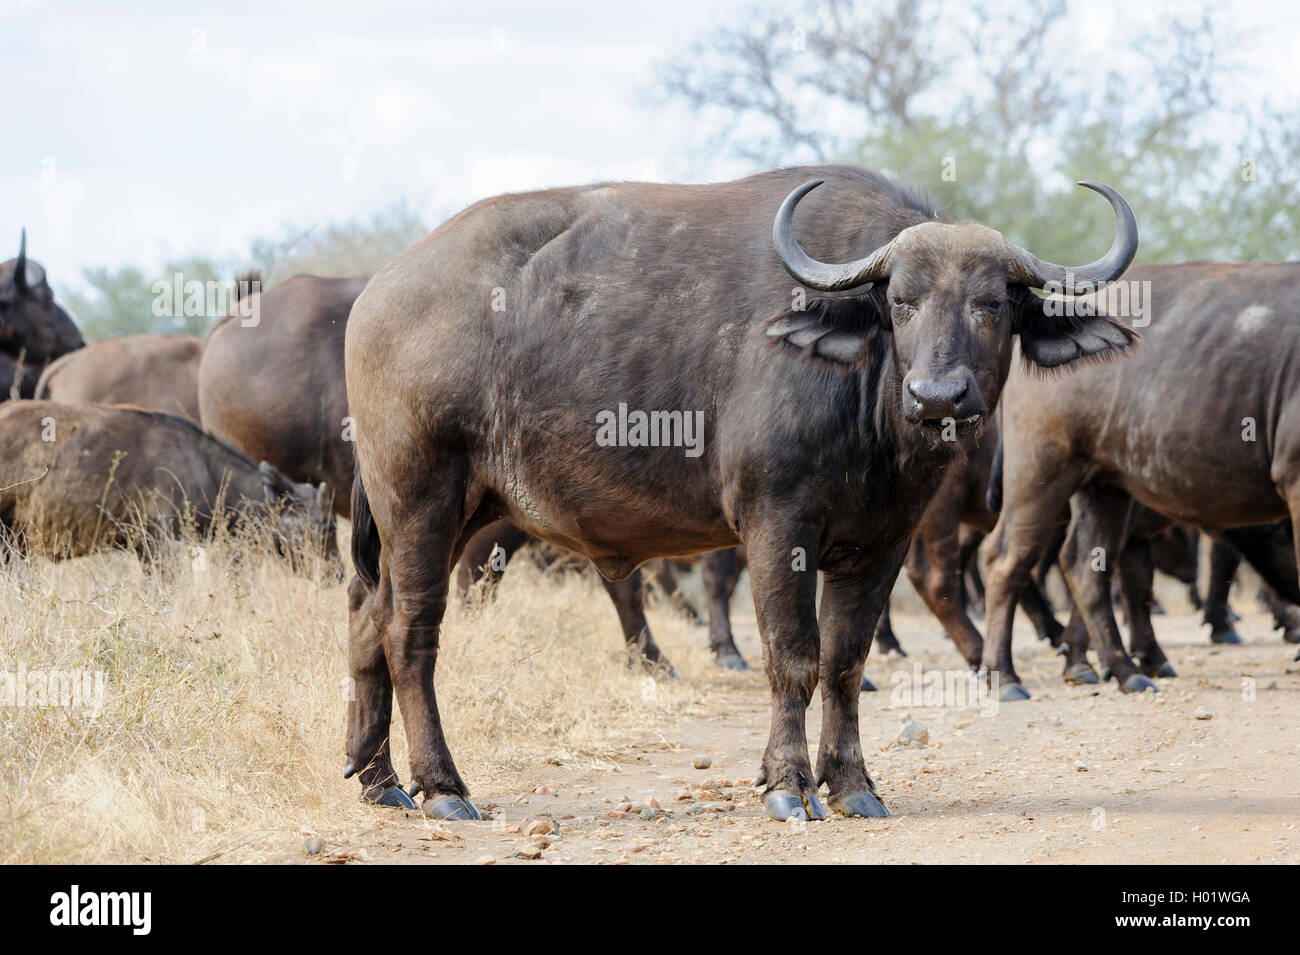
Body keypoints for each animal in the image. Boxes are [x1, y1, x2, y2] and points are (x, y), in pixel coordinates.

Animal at [343, 164, 1138, 821]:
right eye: (902, 302)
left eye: (993, 304)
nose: (938, 394)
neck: (867, 401)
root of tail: (375, 293)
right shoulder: (776, 525)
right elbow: (793, 656)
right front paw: (789, 785)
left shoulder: (883, 539)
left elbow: (846, 661)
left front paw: (852, 784)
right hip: (420, 500)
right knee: (410, 631)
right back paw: (442, 787)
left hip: (450, 513)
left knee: (367, 614)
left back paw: (378, 778)